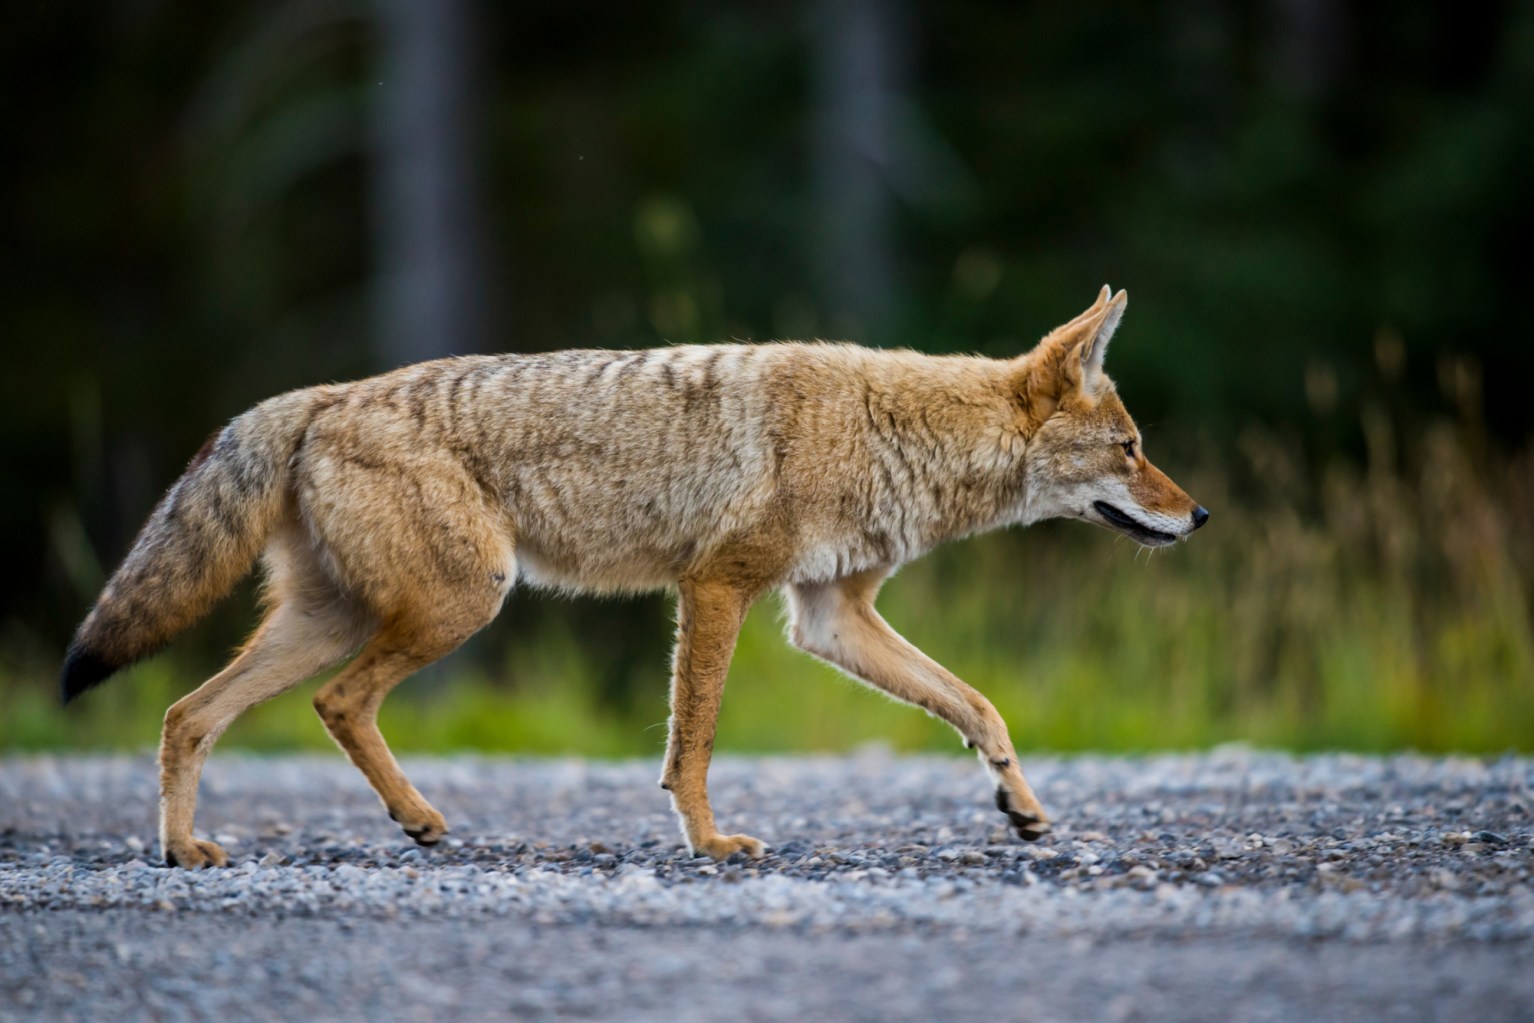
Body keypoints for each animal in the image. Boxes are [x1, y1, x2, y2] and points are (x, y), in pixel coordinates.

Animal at [62, 286, 1206, 867]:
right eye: (1133, 448)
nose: (1197, 515)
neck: (891, 431)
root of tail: (324, 394)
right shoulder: (718, 590)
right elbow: (690, 743)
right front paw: (708, 840)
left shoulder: (828, 618)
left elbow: (977, 705)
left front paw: (1020, 805)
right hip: (458, 605)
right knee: (335, 705)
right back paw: (417, 820)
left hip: (338, 620)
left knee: (187, 714)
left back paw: (189, 850)